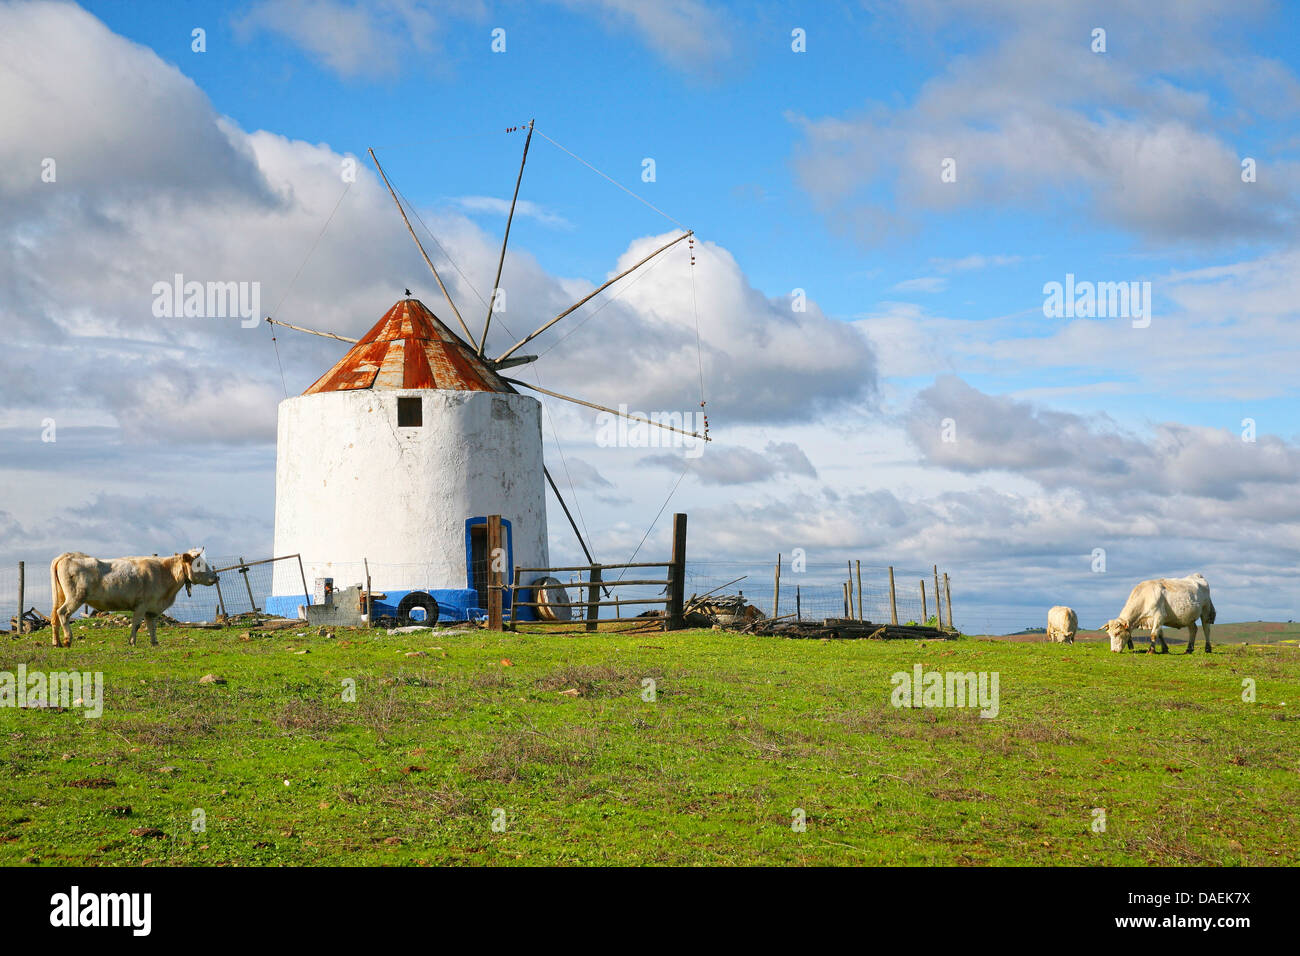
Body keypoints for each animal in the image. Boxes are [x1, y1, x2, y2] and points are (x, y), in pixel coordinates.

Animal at [49, 549, 220, 648]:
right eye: (199, 564)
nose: (216, 577)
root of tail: (66, 555)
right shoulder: (141, 605)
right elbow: (137, 625)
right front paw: (132, 642)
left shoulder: (151, 608)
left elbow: (152, 626)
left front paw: (155, 643)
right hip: (75, 596)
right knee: (63, 613)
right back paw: (67, 640)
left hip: (61, 596)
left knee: (54, 617)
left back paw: (57, 642)